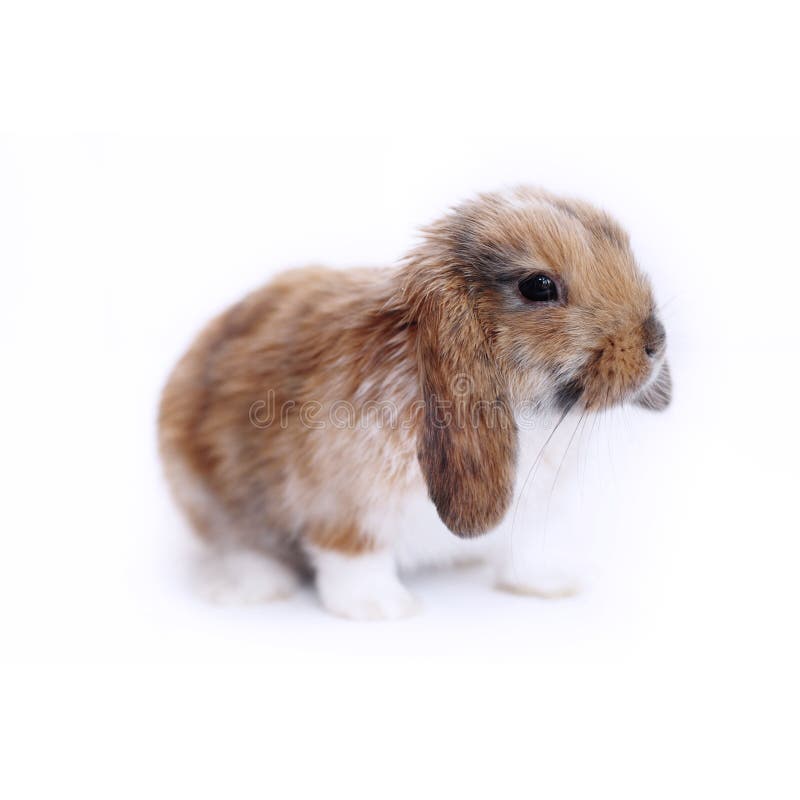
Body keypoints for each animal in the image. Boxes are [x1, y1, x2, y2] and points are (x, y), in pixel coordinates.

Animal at [158, 186, 671, 619]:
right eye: (539, 286)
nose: (654, 341)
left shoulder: (528, 513)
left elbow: (524, 551)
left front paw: (553, 583)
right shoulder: (344, 501)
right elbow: (354, 554)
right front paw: (380, 607)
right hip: (209, 498)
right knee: (242, 545)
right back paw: (249, 588)